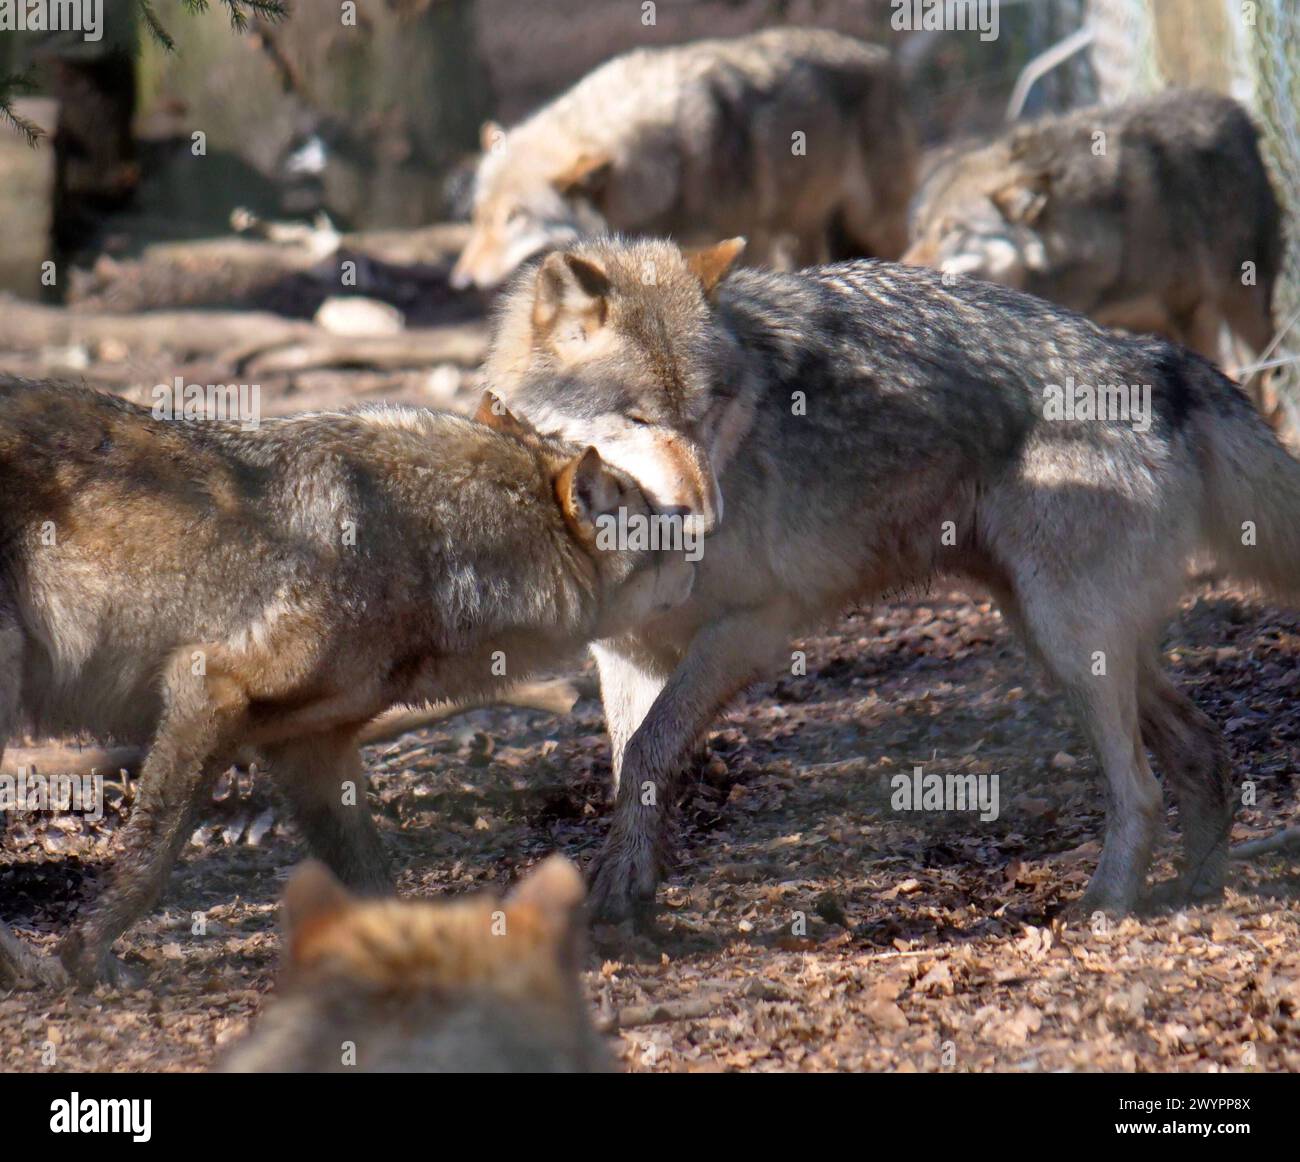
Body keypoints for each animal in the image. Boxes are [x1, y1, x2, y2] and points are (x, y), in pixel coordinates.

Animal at [0, 379, 693, 985]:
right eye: (656, 522)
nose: (698, 526)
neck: (427, 549)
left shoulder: (314, 747)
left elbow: (371, 875)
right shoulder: (209, 688)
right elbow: (150, 860)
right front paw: (86, 954)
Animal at [450, 27, 916, 290]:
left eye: (515, 217)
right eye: (478, 217)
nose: (461, 281)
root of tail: (880, 54)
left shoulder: (745, 245)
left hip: (870, 223)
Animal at [483, 236, 1300, 925]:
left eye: (708, 411)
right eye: (638, 418)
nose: (707, 518)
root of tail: (1155, 358)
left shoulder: (752, 628)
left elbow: (653, 751)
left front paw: (625, 895)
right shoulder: (625, 655)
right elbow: (633, 768)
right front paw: (624, 896)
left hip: (1068, 640)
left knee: (1141, 790)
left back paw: (1106, 904)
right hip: (1054, 637)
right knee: (1203, 748)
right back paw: (1200, 885)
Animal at [903, 90, 1283, 416]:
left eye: (952, 231)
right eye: (919, 229)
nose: (902, 267)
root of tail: (1234, 109)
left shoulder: (1189, 310)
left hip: (1242, 301)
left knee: (1259, 376)